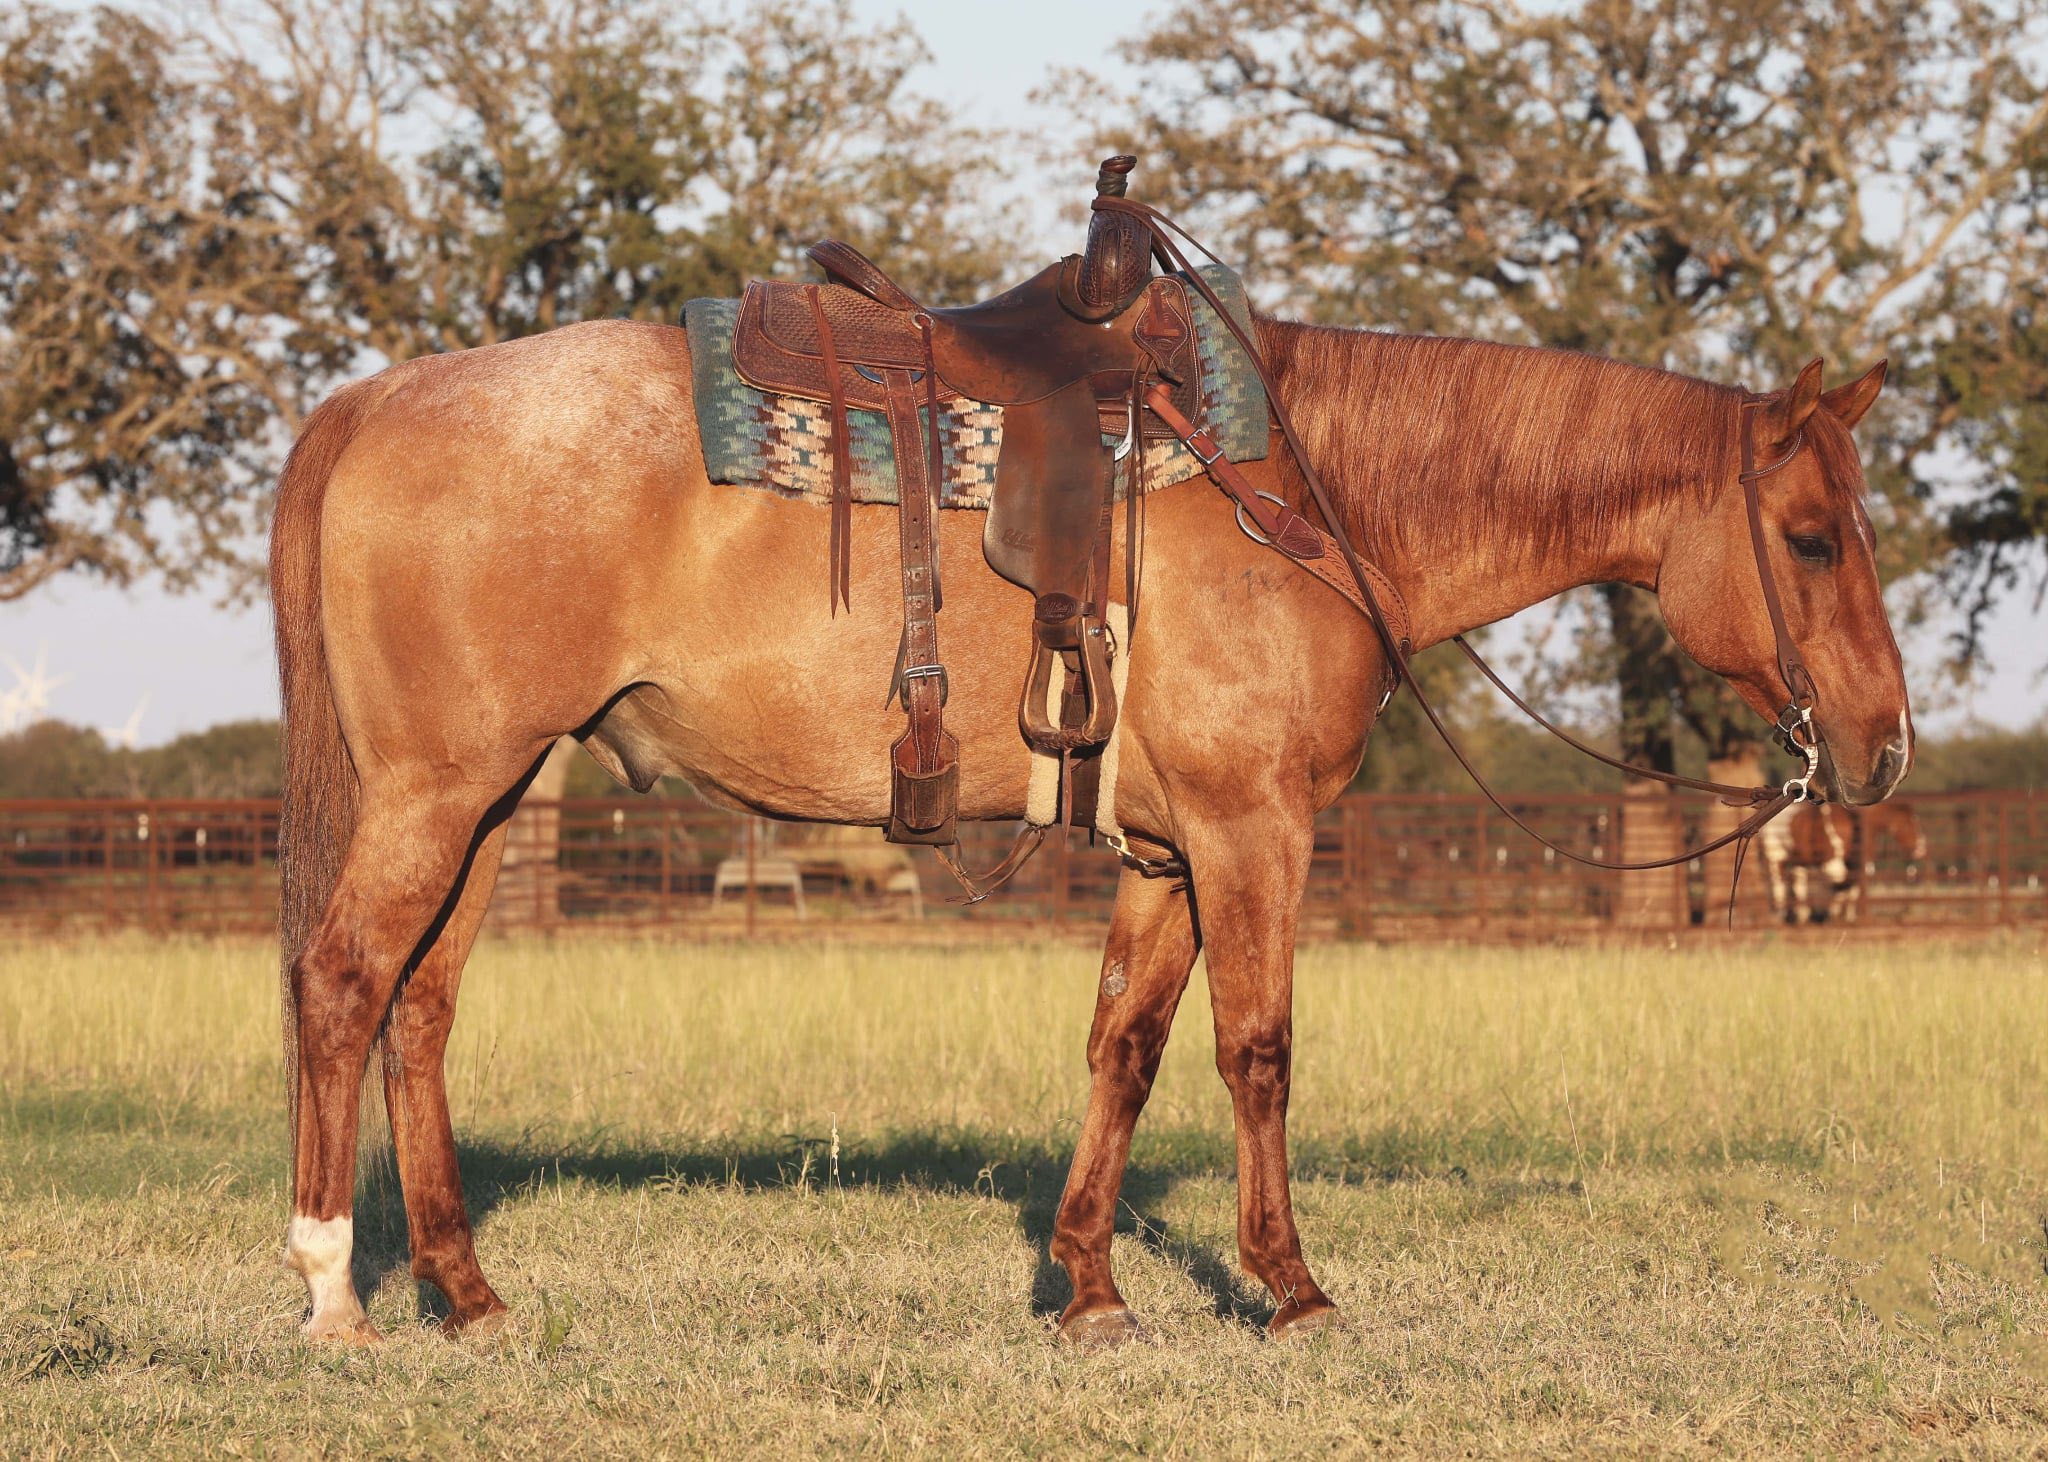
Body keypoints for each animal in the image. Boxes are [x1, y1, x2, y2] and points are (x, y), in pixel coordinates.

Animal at [1761, 799, 1928, 924]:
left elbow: (1852, 889)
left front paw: (1848, 916)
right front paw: (1834, 915)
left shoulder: (1859, 865)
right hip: (1775, 857)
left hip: (1799, 861)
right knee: (1778, 885)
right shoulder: (1834, 864)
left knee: (1798, 885)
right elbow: (1839, 887)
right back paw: (1780, 915)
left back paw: (1802, 915)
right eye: (1909, 823)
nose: (1921, 849)